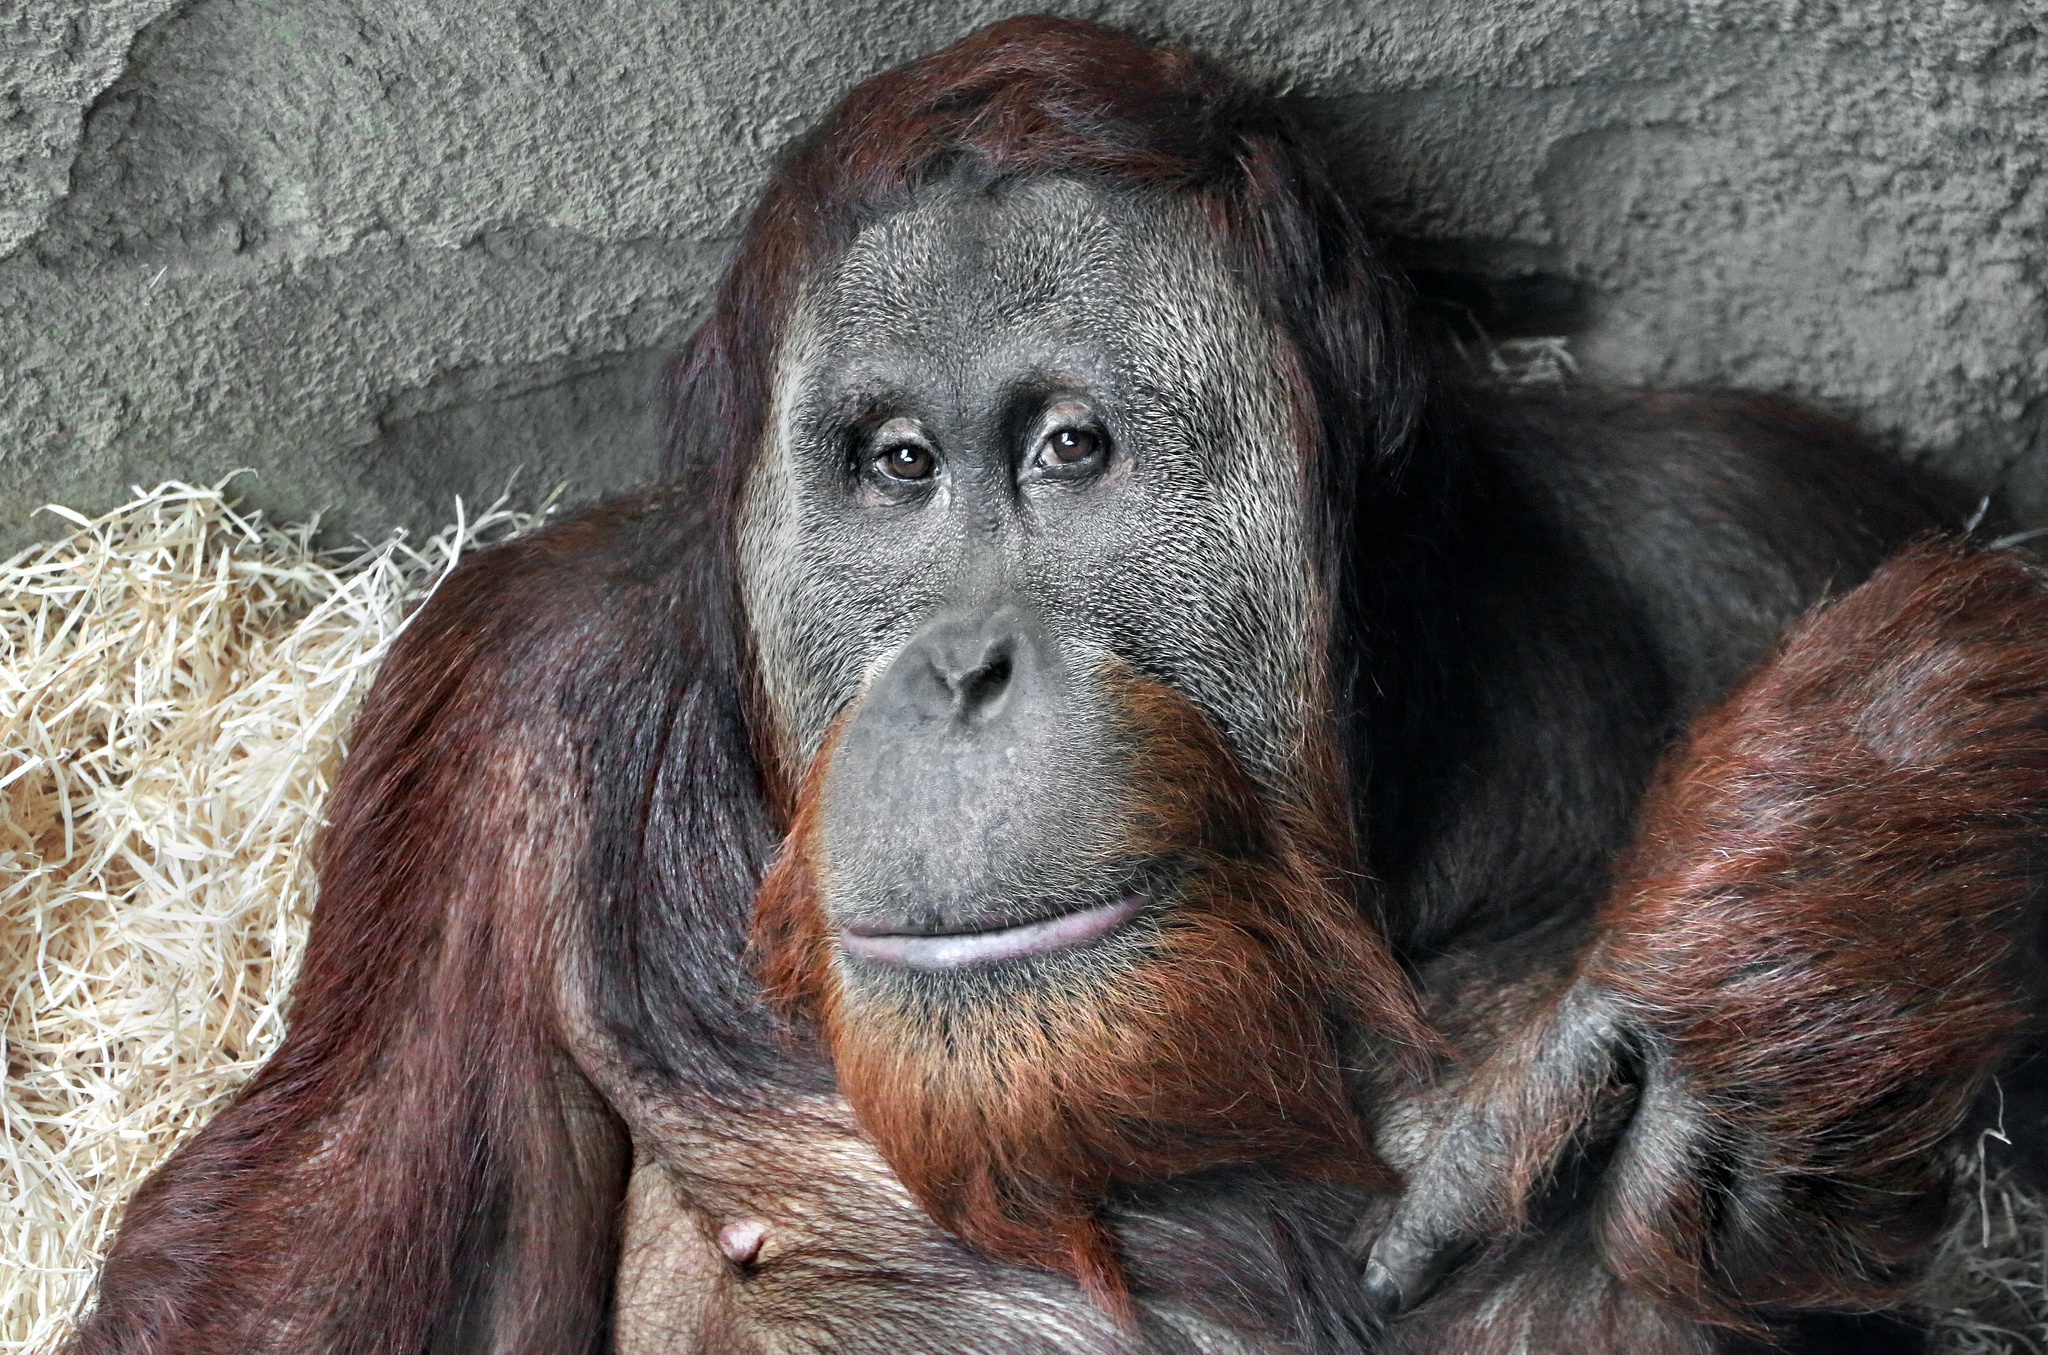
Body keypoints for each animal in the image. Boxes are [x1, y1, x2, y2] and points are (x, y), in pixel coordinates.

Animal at [66, 16, 2048, 1355]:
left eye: (1069, 449)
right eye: (894, 466)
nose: (960, 664)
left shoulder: (1735, 508)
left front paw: (1778, 940)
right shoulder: (505, 705)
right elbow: (317, 1262)